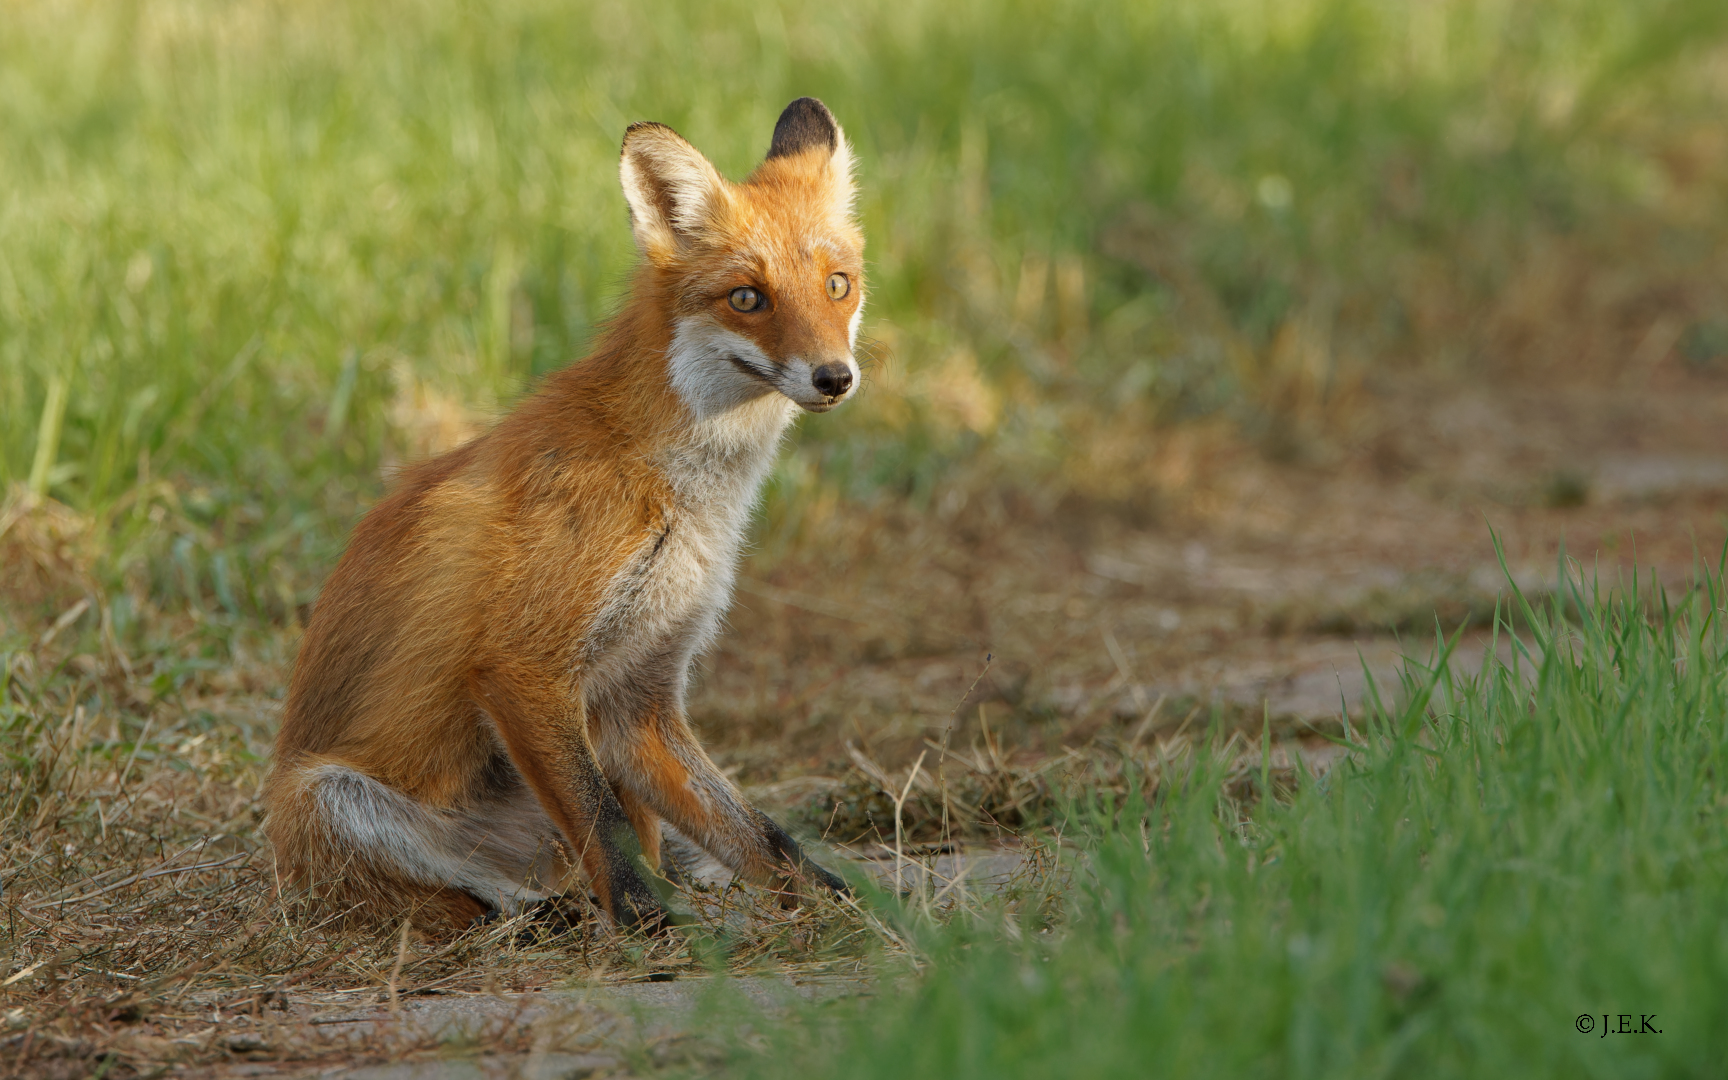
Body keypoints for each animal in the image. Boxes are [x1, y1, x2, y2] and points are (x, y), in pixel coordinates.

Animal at [264, 98, 864, 926]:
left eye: (838, 285)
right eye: (748, 298)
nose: (834, 377)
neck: (682, 493)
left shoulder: (637, 699)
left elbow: (760, 836)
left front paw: (859, 911)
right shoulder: (523, 667)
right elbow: (605, 825)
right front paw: (652, 928)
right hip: (331, 797)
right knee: (478, 900)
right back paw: (543, 917)